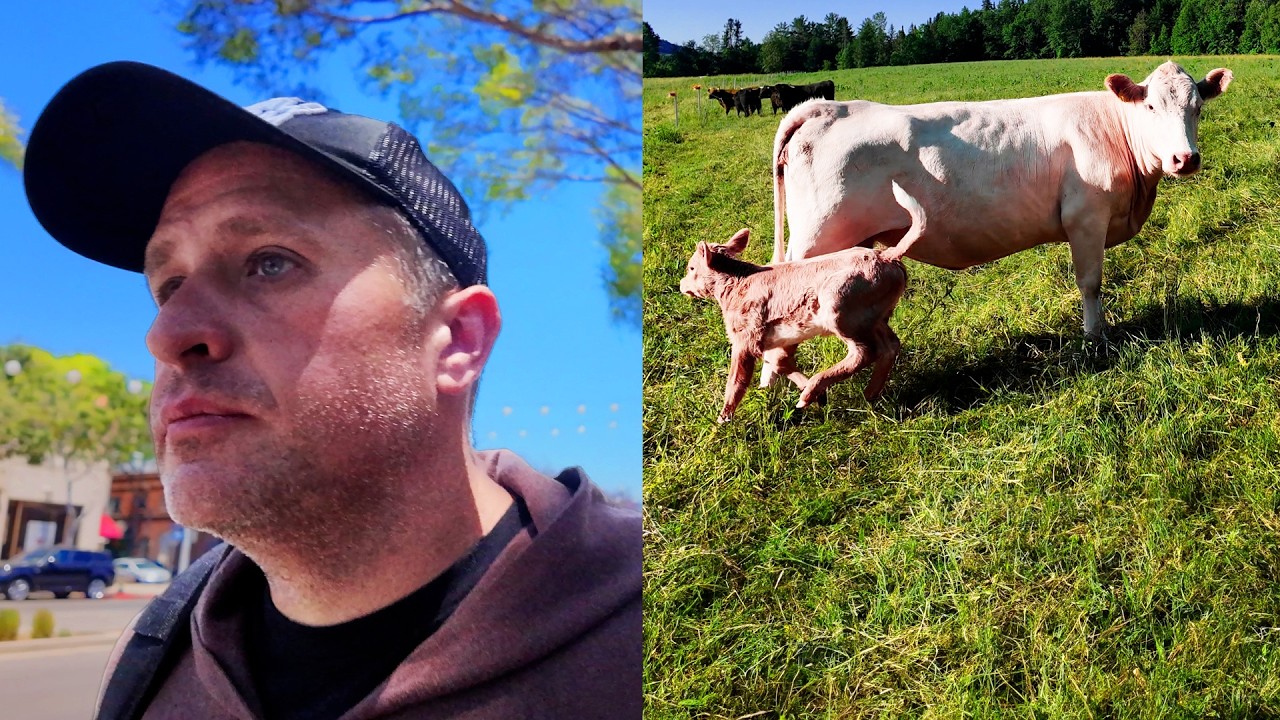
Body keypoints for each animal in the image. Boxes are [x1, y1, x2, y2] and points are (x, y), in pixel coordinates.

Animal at [680, 182, 926, 422]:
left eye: (691, 268)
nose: (681, 285)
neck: (736, 284)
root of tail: (889, 255)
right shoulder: (777, 339)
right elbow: (780, 362)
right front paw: (819, 398)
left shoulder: (745, 338)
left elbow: (736, 381)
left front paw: (721, 422)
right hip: (874, 315)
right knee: (890, 345)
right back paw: (867, 394)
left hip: (840, 308)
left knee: (864, 352)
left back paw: (812, 392)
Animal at [770, 61, 1232, 345]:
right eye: (1151, 105)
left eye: (1198, 107)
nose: (1185, 159)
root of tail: (823, 108)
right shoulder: (1086, 218)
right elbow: (1091, 283)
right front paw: (1094, 336)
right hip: (816, 237)